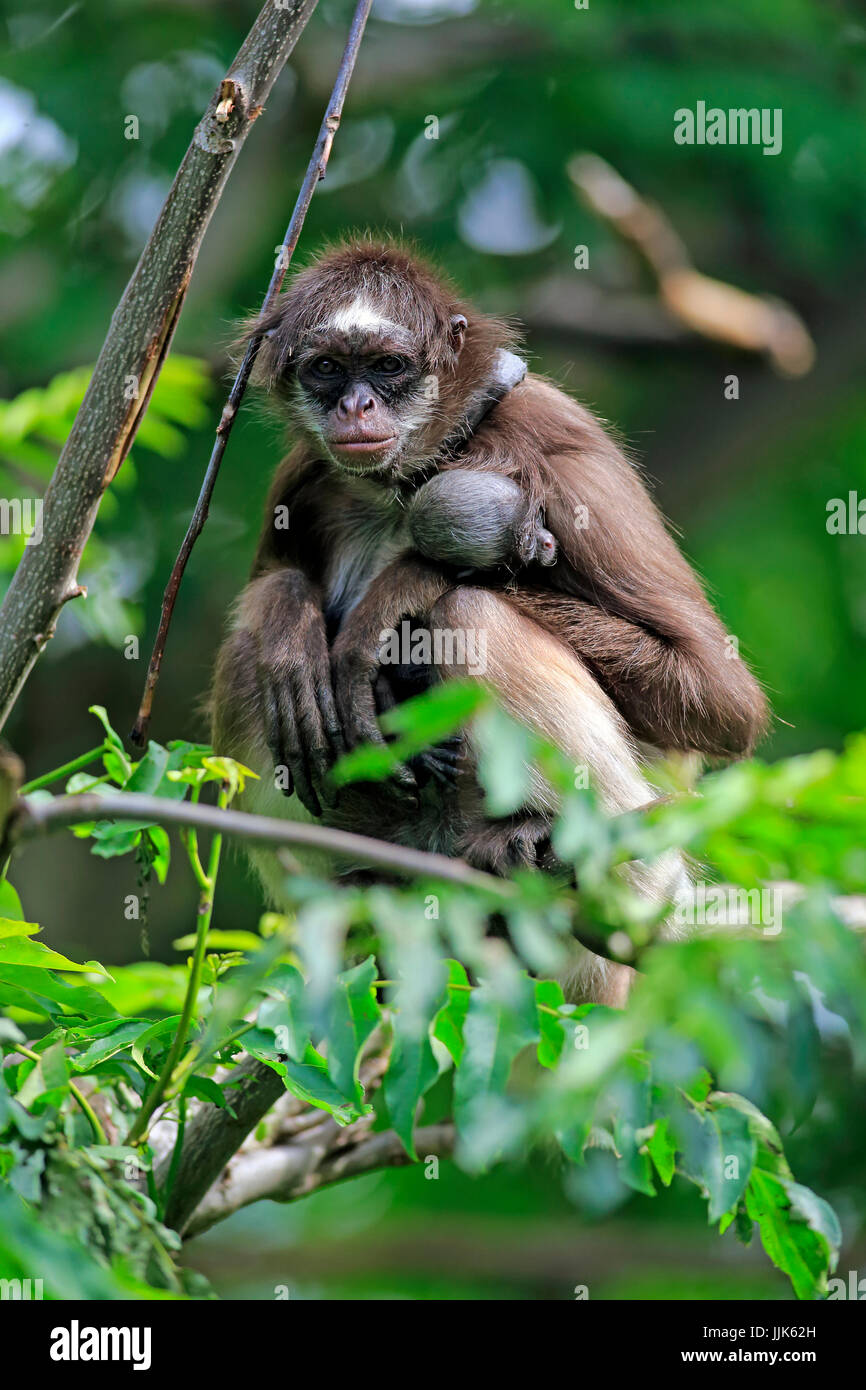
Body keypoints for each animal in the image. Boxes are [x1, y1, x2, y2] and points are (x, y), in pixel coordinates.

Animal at [212, 238, 767, 1004]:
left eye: (388, 367)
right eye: (327, 369)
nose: (356, 404)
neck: (405, 480)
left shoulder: (556, 442)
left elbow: (721, 701)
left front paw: (404, 587)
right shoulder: (304, 474)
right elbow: (273, 593)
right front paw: (291, 626)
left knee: (468, 608)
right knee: (247, 661)